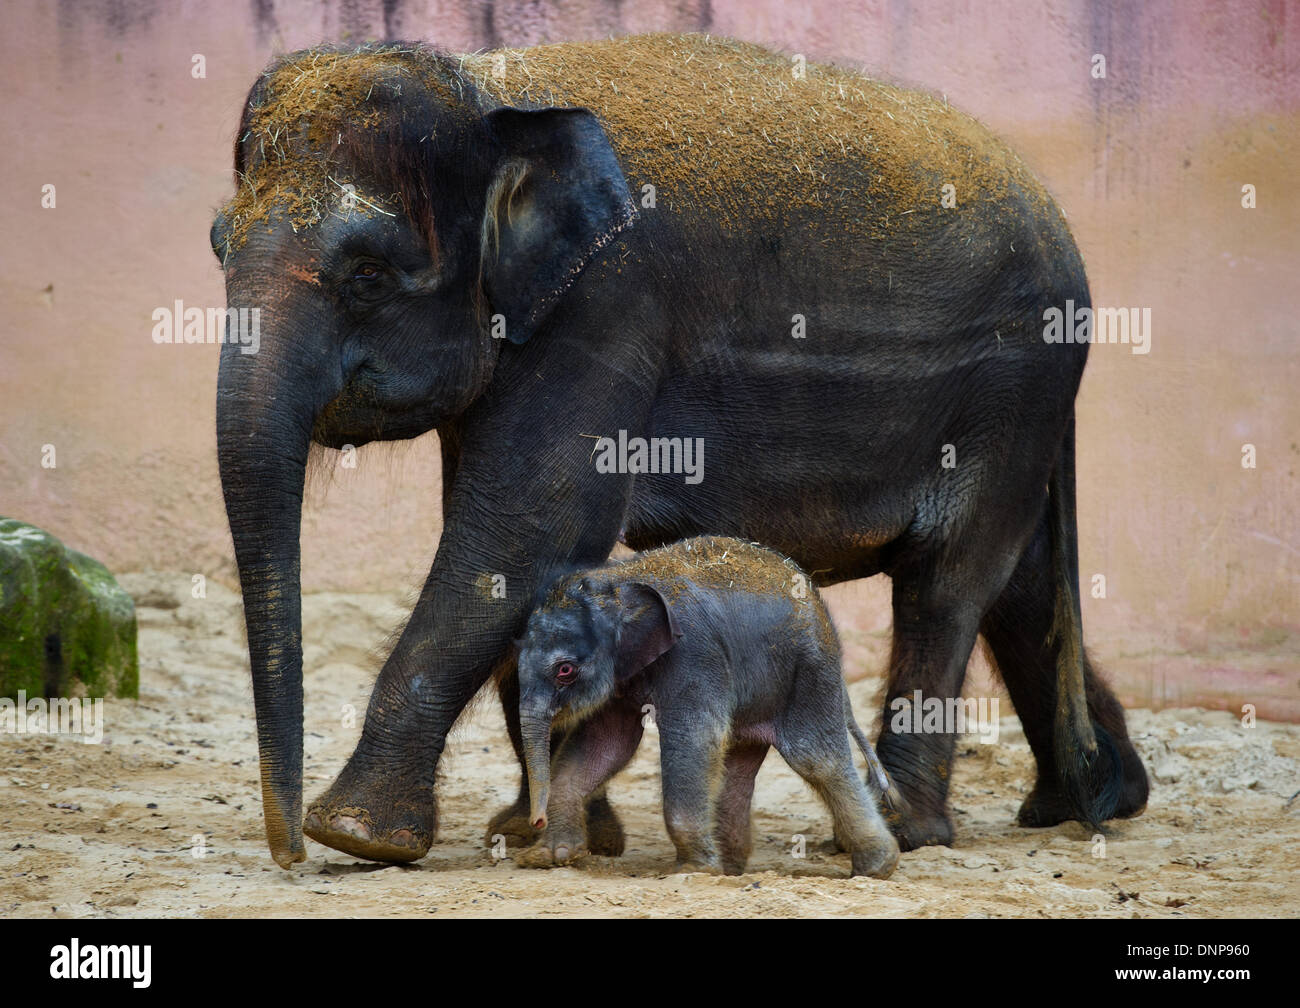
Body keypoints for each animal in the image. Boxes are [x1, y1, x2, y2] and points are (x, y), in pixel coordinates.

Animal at [513, 536, 901, 878]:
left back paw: (875, 869)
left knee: (816, 758)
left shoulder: (695, 654)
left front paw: (693, 870)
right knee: (739, 763)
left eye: (565, 670)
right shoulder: (624, 674)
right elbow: (606, 744)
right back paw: (730, 869)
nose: (536, 820)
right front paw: (548, 857)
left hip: (809, 671)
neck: (618, 580)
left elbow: (695, 737)